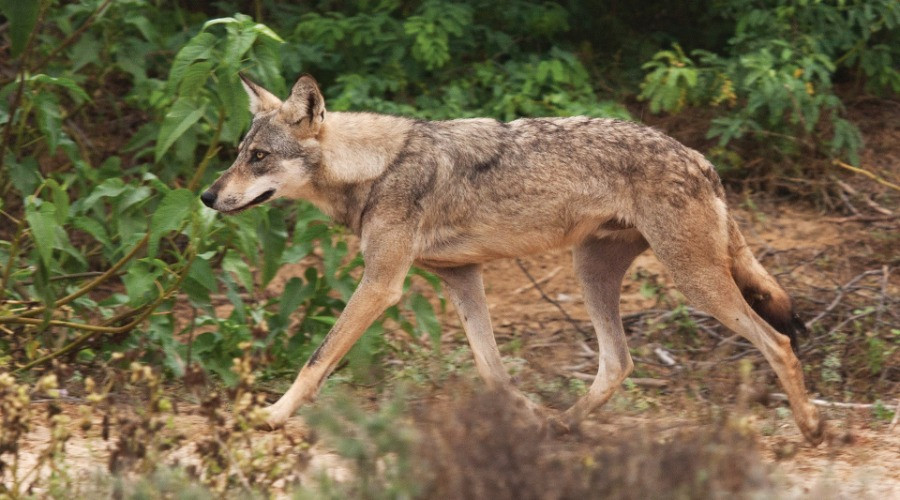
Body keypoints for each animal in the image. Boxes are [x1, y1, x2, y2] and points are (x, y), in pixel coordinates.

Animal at [200, 74, 825, 444]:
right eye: (238, 154)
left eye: (259, 157)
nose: (207, 196)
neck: (374, 168)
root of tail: (701, 160)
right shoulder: (462, 278)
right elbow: (494, 372)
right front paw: (525, 420)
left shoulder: (381, 285)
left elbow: (316, 360)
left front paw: (270, 416)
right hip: (591, 271)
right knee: (617, 363)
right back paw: (560, 426)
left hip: (694, 282)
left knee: (780, 343)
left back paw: (812, 428)